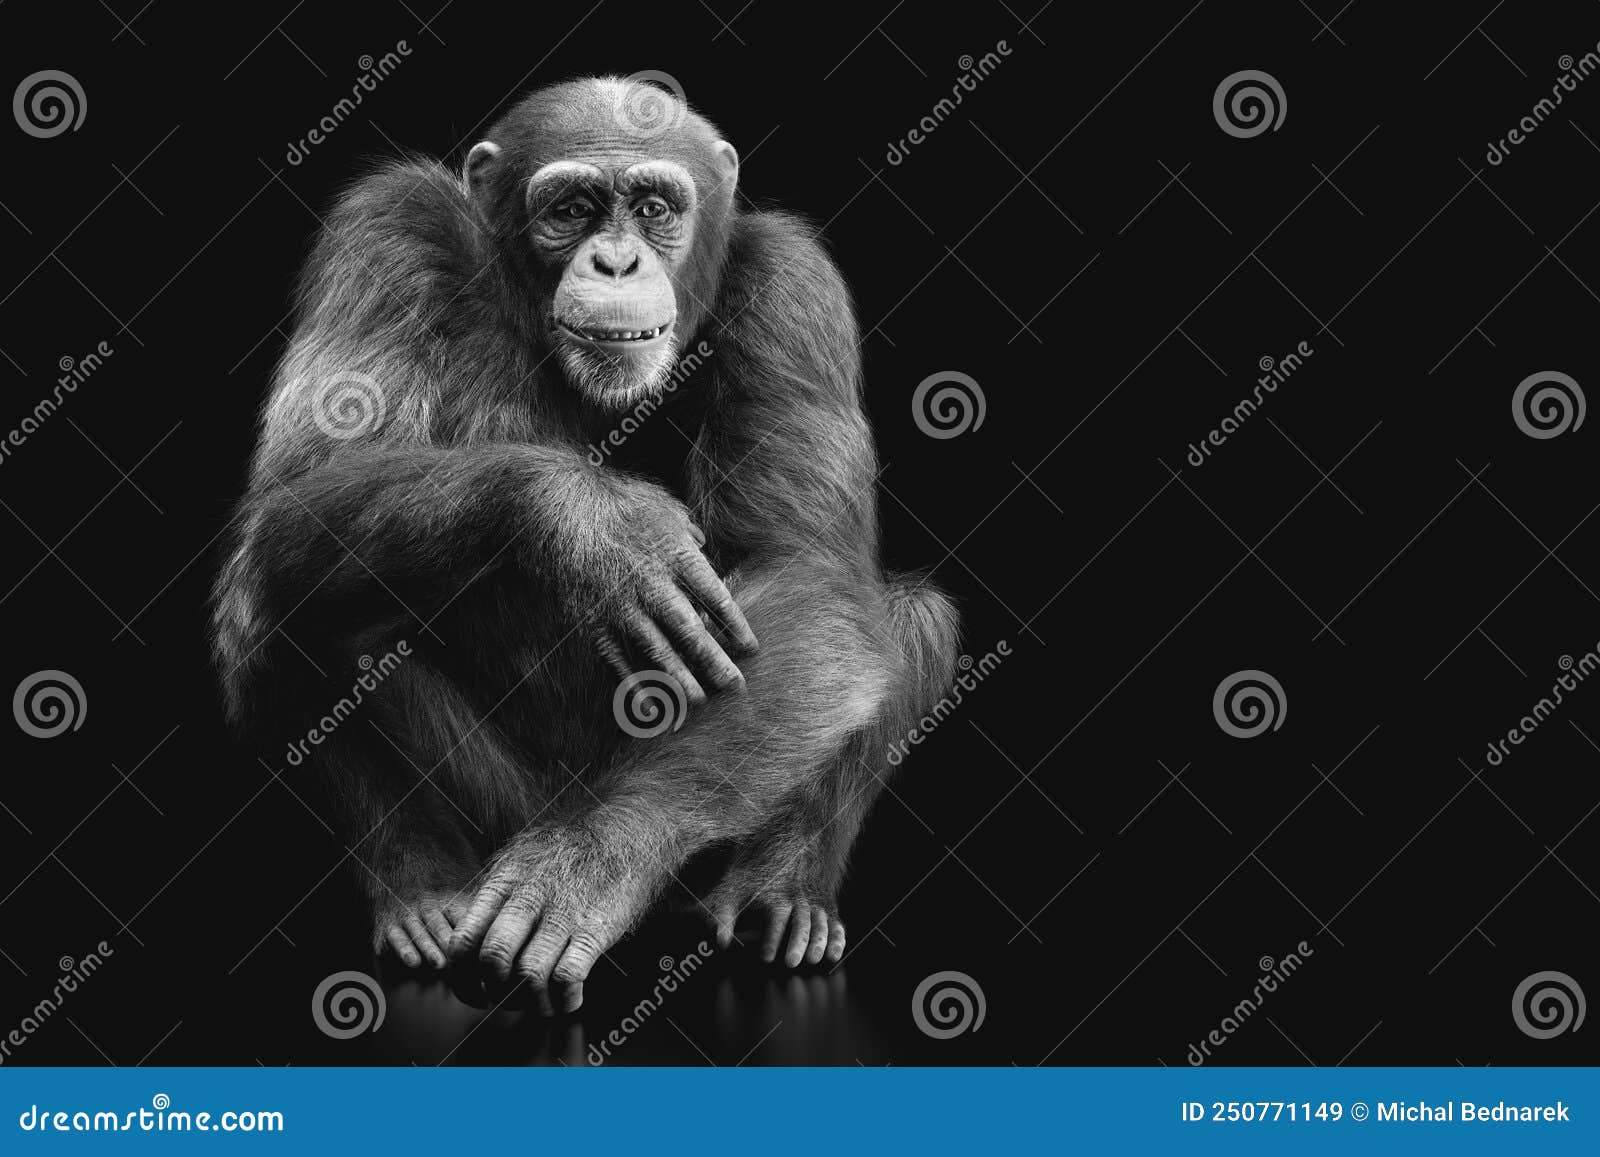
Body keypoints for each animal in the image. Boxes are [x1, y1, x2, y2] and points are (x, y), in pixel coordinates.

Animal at [212, 76, 960, 1015]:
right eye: (570, 210)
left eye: (653, 208)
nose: (615, 262)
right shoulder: (385, 228)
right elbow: (296, 491)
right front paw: (589, 524)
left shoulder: (795, 288)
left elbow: (805, 567)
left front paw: (588, 859)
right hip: (502, 804)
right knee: (286, 605)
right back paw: (420, 889)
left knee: (911, 617)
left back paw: (777, 897)